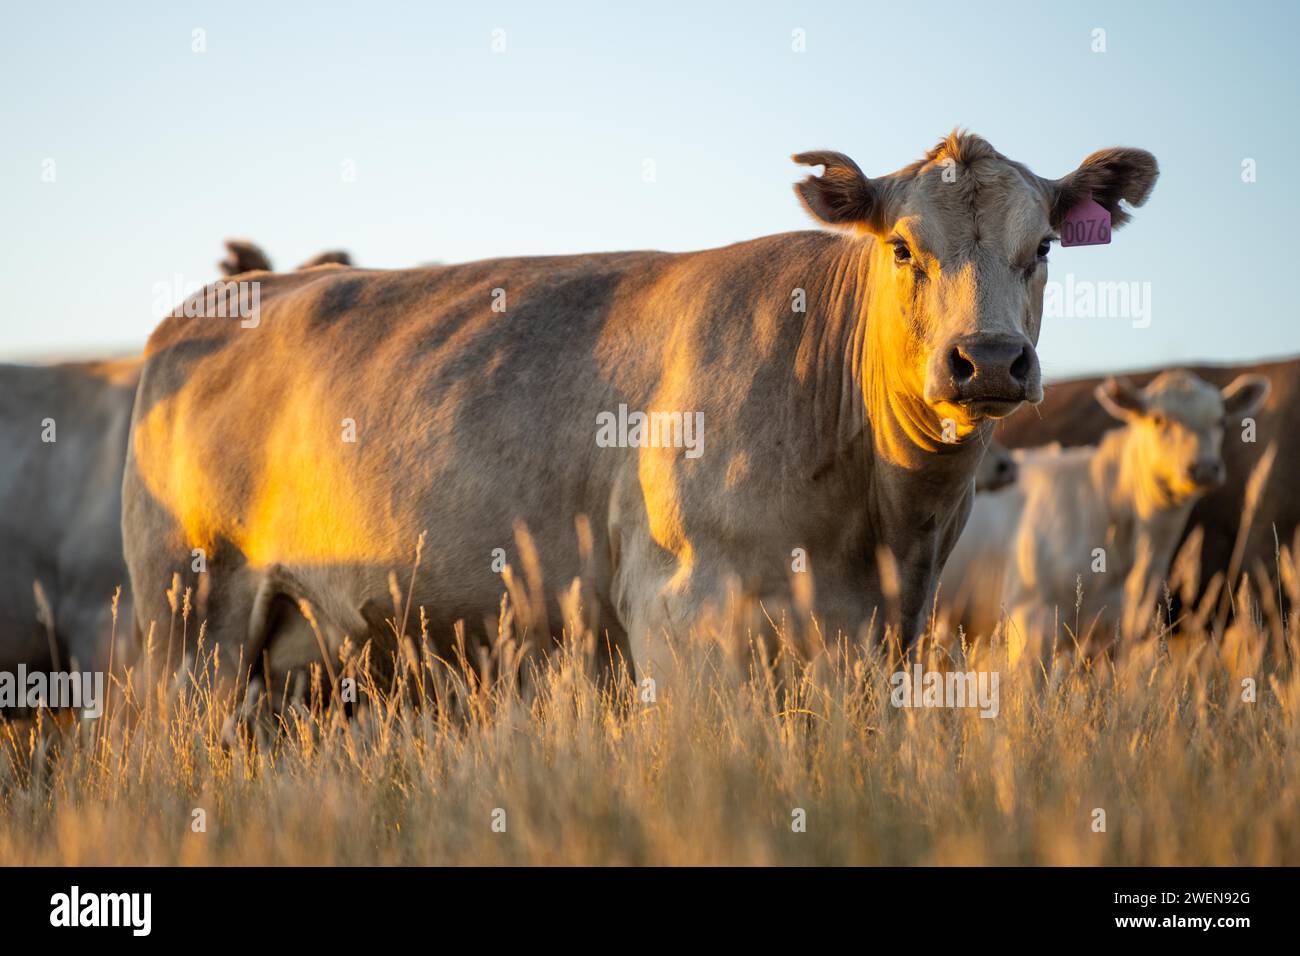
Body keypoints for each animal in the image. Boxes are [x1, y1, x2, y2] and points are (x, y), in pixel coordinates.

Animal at [121, 131, 1158, 693]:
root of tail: (217, 302)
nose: (988, 359)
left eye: (1044, 248)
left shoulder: (888, 636)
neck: (885, 523)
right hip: (191, 618)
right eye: (903, 247)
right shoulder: (678, 616)